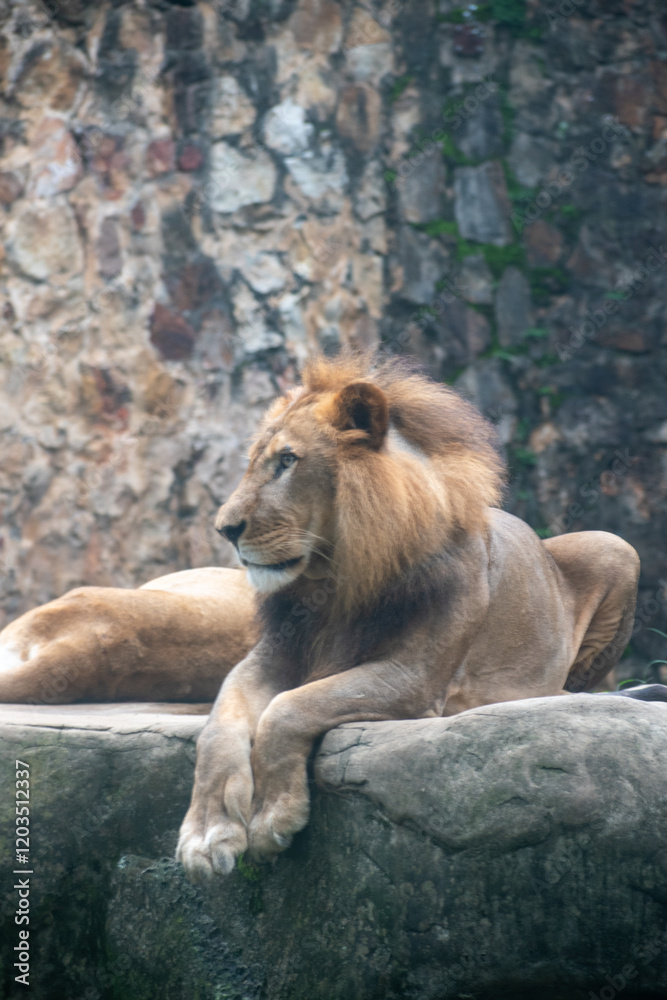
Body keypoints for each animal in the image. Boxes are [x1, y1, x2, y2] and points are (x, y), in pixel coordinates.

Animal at [0, 352, 658, 881]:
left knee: (590, 681)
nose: (225, 528)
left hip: (616, 545)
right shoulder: (268, 656)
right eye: (254, 461)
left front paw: (272, 817)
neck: (333, 582)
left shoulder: (415, 677)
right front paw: (207, 834)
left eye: (287, 461)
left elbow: (292, 707)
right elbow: (219, 728)